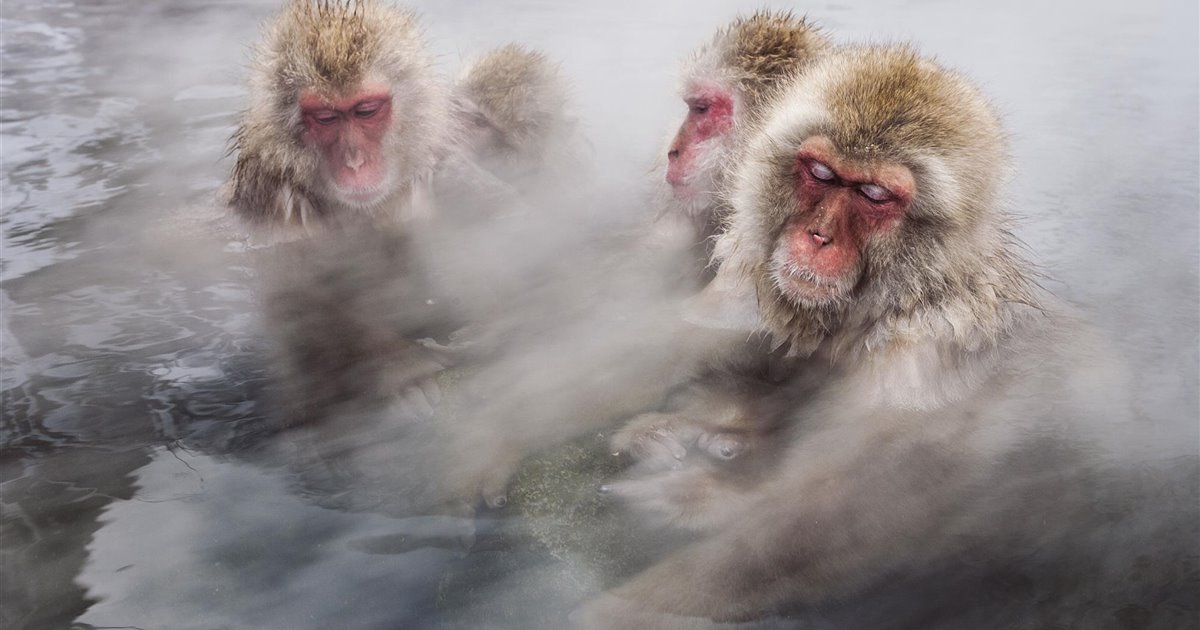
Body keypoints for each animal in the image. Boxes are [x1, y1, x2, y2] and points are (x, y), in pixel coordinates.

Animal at [574, 44, 1176, 628]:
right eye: (820, 173)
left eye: (871, 193)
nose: (817, 235)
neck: (881, 303)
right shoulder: (754, 294)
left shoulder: (920, 357)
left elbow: (868, 509)